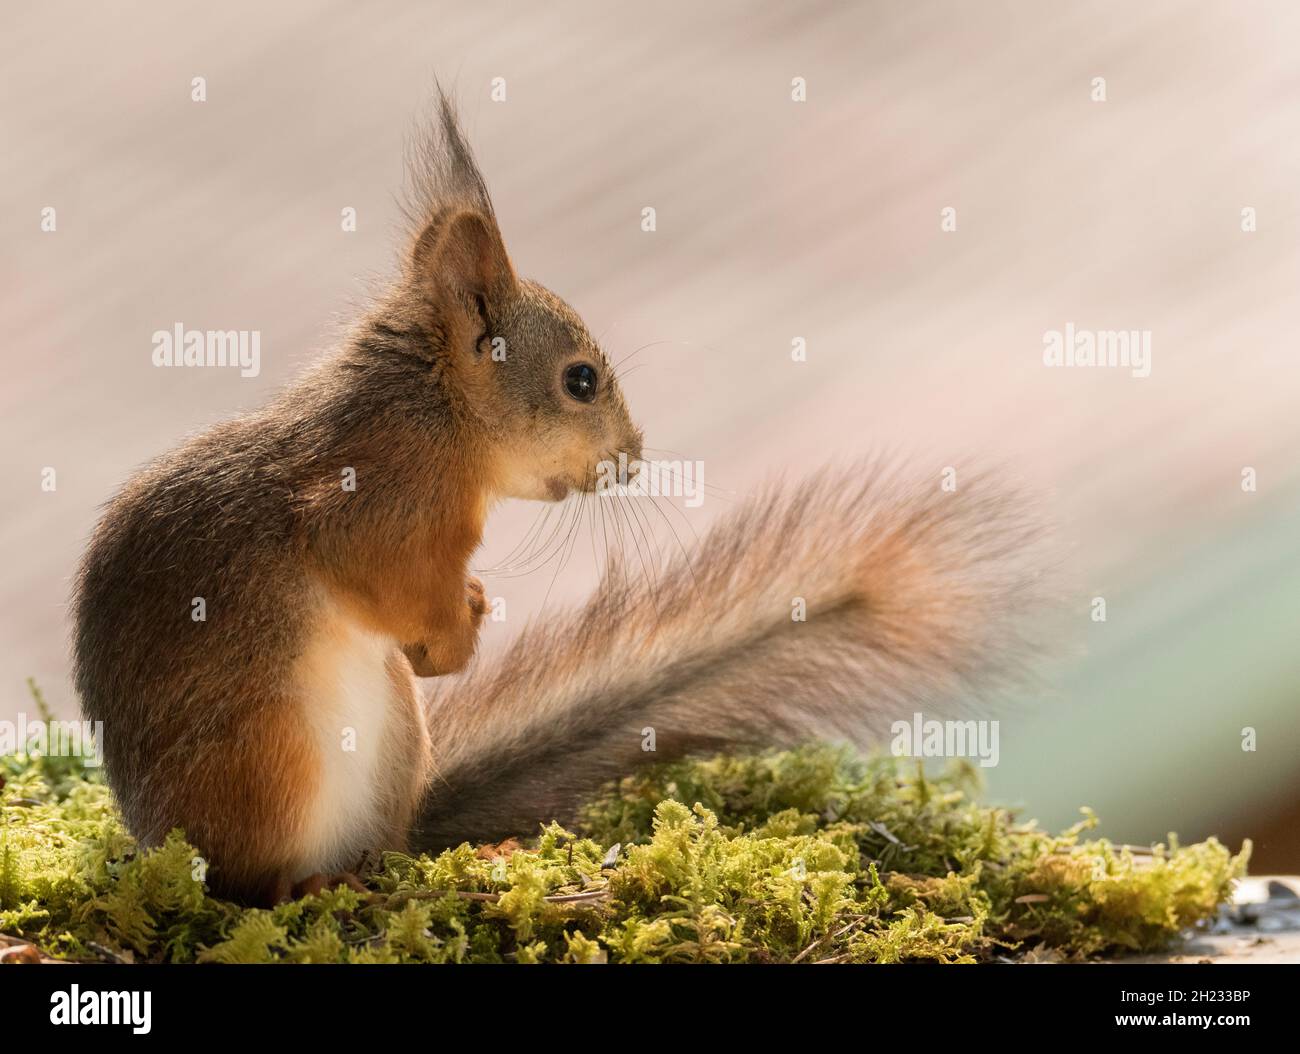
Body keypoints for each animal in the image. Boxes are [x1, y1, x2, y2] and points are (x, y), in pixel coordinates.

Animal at [73, 91, 1051, 905]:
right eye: (580, 381)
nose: (635, 458)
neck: (440, 415)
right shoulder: (368, 505)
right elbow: (381, 581)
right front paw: (458, 630)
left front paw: (471, 609)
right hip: (266, 762)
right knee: (256, 883)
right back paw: (305, 887)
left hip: (393, 742)